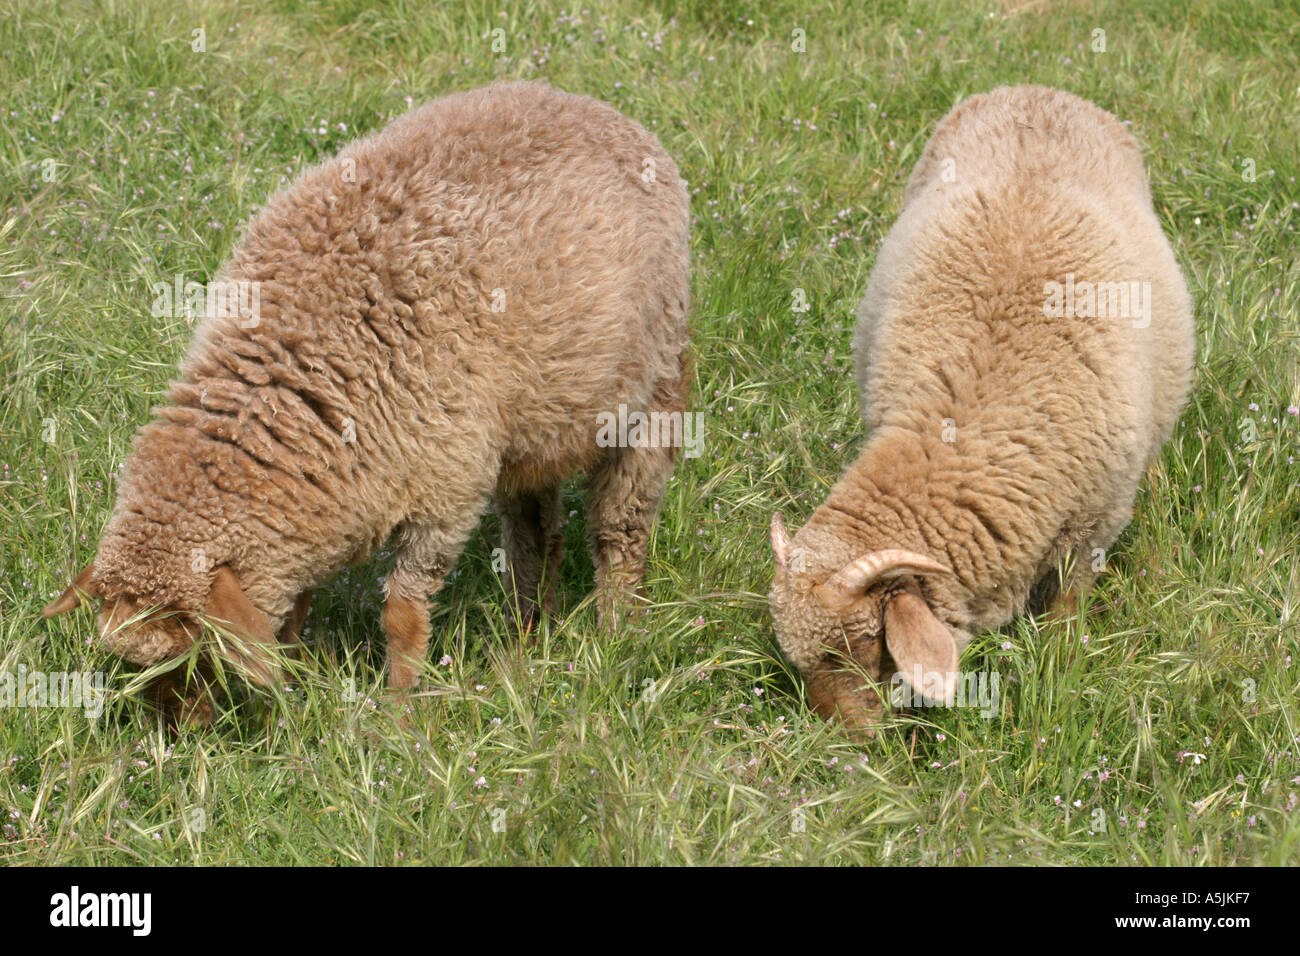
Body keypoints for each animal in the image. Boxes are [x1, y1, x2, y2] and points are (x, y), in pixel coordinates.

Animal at [42, 80, 691, 724]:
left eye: (194, 650)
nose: (175, 735)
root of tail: (587, 103)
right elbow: (299, 603)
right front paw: (295, 678)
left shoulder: (446, 492)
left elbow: (401, 617)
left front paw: (400, 712)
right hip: (538, 423)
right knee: (536, 532)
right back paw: (529, 633)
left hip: (653, 389)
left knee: (620, 531)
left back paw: (614, 637)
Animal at [769, 85, 1195, 733]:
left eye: (865, 640)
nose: (850, 741)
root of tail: (1039, 90)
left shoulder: (1092, 525)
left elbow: (1068, 611)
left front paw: (1061, 667)